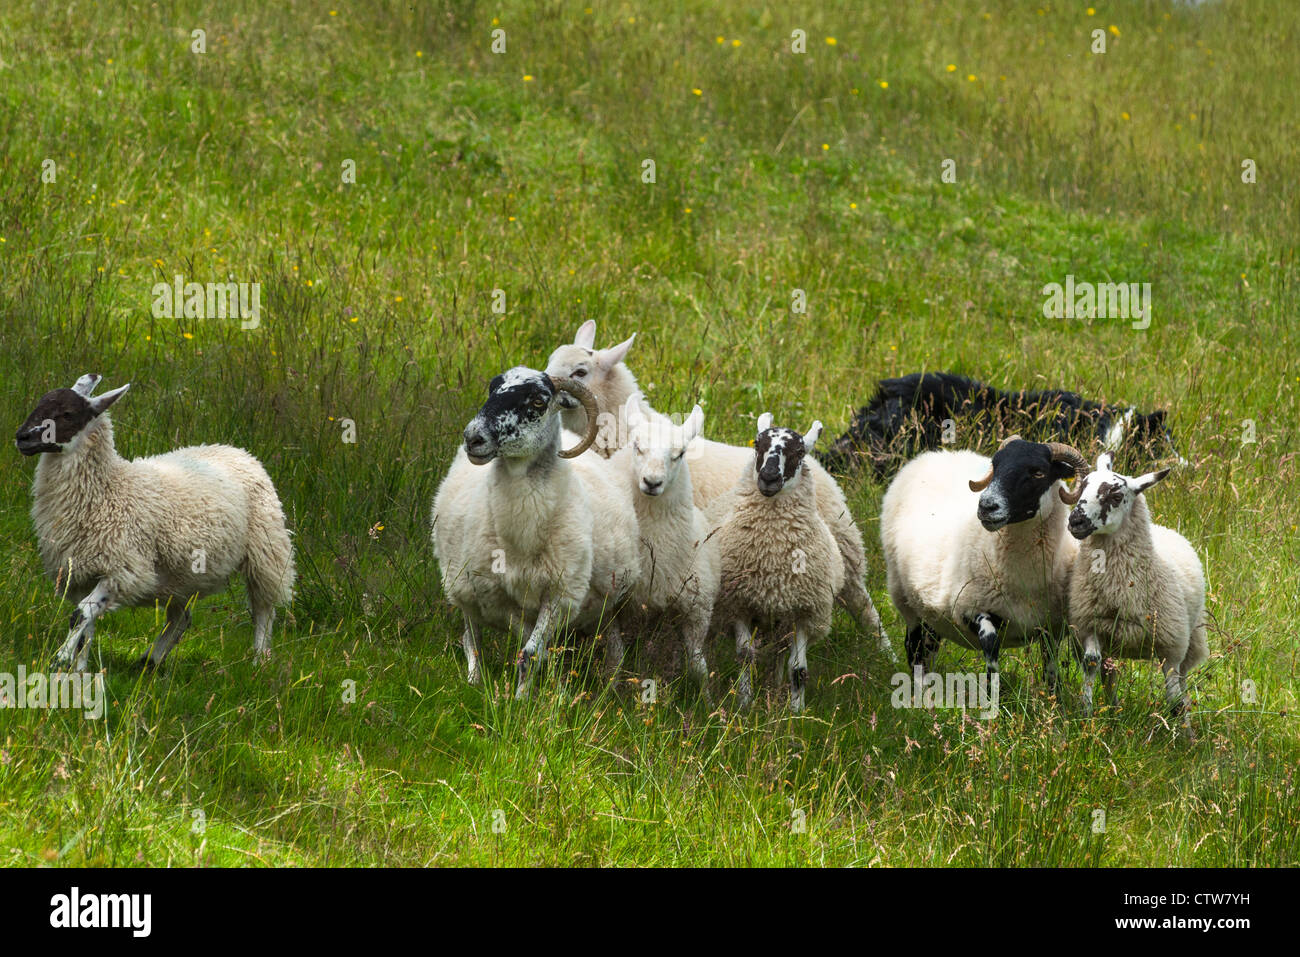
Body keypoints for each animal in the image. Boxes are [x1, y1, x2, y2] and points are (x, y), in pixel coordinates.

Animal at [13, 369, 297, 670]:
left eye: (67, 414)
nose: (22, 438)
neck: (110, 488)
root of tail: (236, 450)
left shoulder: (125, 569)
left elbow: (81, 615)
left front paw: (62, 658)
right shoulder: (81, 574)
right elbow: (86, 625)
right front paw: (79, 670)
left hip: (266, 551)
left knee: (263, 609)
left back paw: (259, 659)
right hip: (179, 574)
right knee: (181, 619)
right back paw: (151, 662)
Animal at [434, 366, 642, 696]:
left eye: (538, 402)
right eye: (492, 389)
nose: (473, 438)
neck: (523, 539)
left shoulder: (560, 593)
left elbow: (531, 652)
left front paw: (528, 698)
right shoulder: (500, 601)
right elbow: (528, 649)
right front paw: (526, 695)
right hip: (462, 584)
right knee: (471, 636)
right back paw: (474, 679)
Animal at [543, 321, 889, 657]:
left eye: (580, 372)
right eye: (551, 360)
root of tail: (818, 465)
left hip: (841, 551)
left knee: (865, 607)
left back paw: (886, 654)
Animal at [712, 410, 842, 712]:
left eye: (799, 452)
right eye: (757, 444)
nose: (769, 477)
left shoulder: (804, 611)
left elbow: (799, 669)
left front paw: (796, 711)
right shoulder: (737, 604)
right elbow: (745, 656)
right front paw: (745, 704)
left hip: (783, 619)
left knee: (782, 654)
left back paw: (777, 682)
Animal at [878, 436, 1092, 691]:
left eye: (1038, 472)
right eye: (995, 465)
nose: (986, 506)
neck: (1023, 579)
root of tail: (932, 455)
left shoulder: (1053, 626)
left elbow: (1051, 670)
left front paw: (1054, 698)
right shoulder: (971, 608)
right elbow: (991, 656)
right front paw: (992, 698)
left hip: (930, 613)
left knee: (928, 648)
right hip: (906, 602)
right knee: (914, 649)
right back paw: (920, 693)